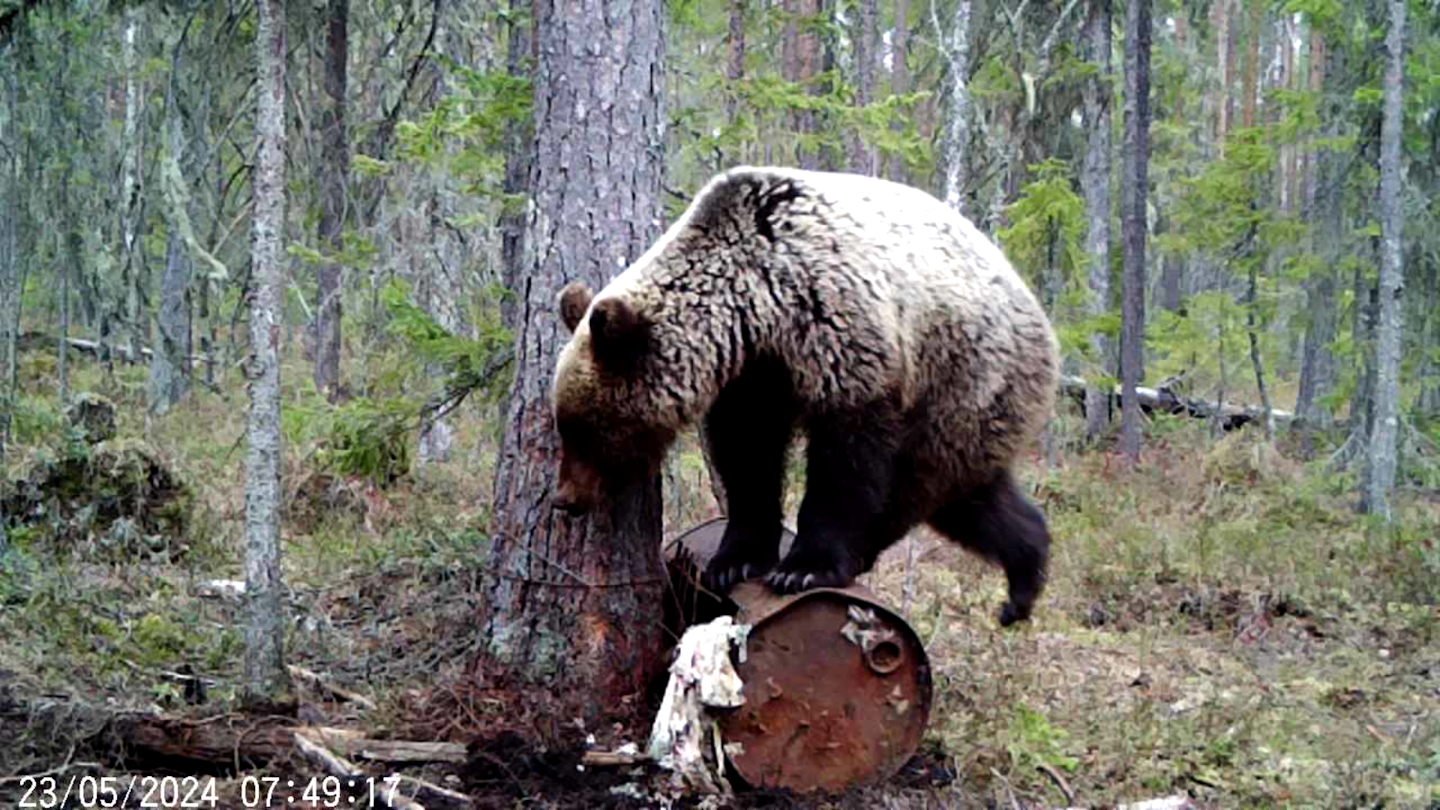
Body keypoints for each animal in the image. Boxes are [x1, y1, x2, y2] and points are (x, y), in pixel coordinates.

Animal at [551, 166, 1060, 625]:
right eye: (565, 424)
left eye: (582, 428)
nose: (565, 498)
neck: (756, 304)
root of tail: (1039, 317)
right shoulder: (754, 372)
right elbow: (747, 454)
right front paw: (734, 559)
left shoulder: (838, 330)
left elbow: (845, 461)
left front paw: (803, 568)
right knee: (972, 499)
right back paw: (1022, 580)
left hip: (963, 378)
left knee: (919, 481)